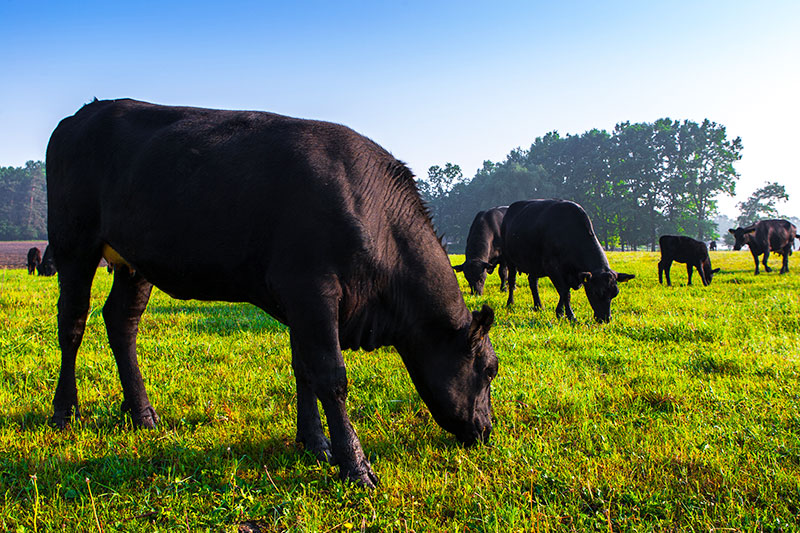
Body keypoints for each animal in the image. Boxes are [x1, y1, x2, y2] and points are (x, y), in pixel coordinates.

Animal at [45, 99, 498, 488]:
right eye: (490, 369)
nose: (487, 429)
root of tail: (83, 113)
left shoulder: (300, 300)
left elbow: (304, 368)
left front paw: (314, 444)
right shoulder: (312, 288)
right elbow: (331, 375)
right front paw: (354, 465)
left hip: (133, 261)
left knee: (122, 322)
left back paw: (141, 413)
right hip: (73, 243)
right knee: (72, 323)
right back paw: (64, 411)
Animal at [501, 199, 635, 323]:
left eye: (615, 293)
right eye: (597, 292)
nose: (605, 319)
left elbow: (564, 292)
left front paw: (561, 313)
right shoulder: (553, 268)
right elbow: (565, 292)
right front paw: (569, 315)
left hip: (533, 263)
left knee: (533, 283)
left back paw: (538, 306)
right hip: (510, 260)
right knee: (512, 281)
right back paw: (510, 303)